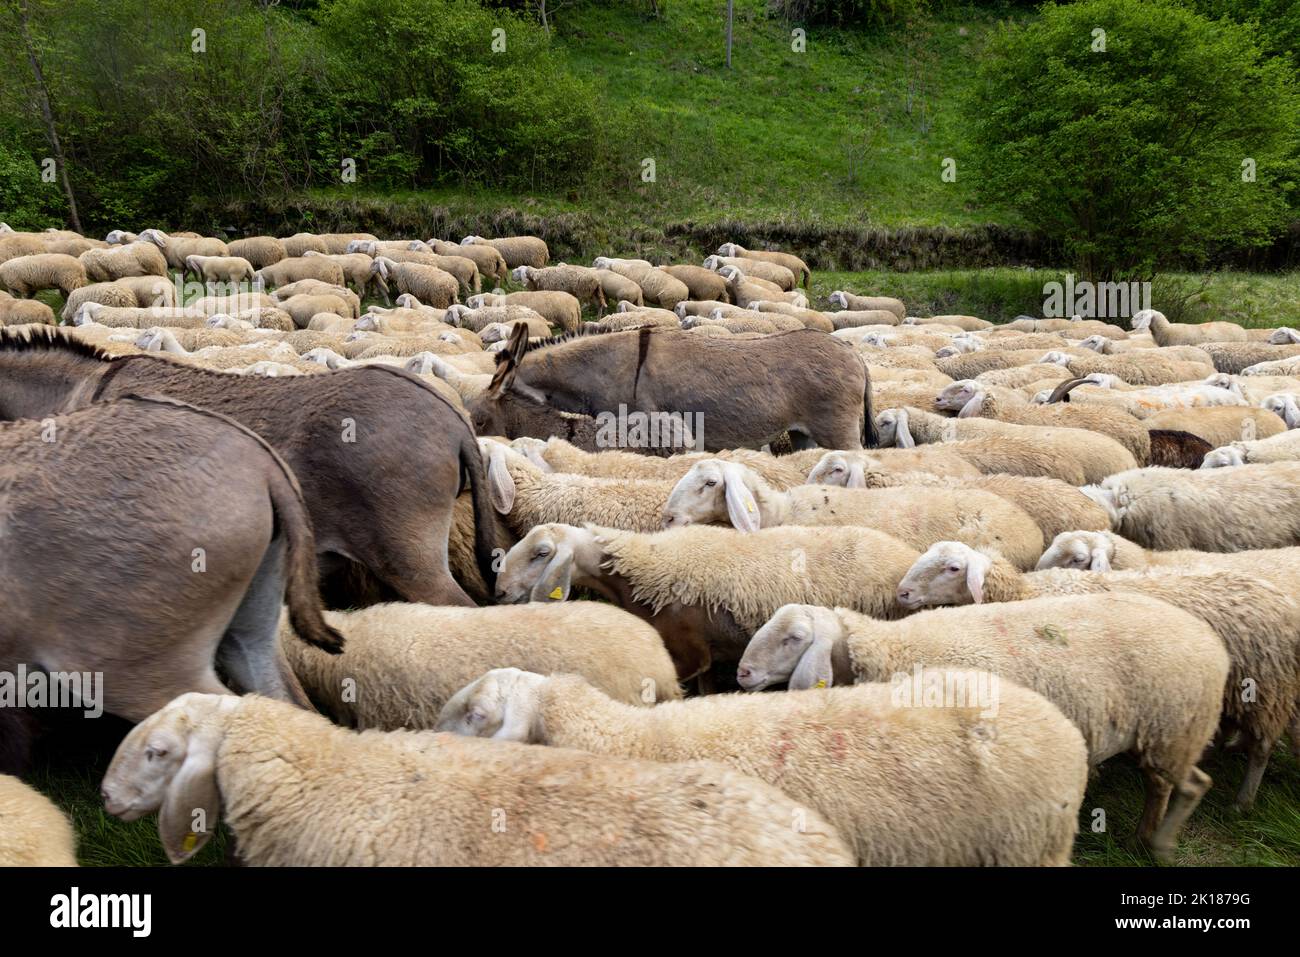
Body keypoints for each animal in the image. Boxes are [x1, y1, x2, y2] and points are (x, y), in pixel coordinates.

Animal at [739, 596, 1228, 862]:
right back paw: (1143, 837)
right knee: (1161, 784)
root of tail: (1213, 642)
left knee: (1193, 785)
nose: (742, 674)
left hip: (1180, 724)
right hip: (1164, 731)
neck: (889, 648)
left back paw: (1161, 846)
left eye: (793, 639)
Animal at [896, 540, 1300, 810]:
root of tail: (1281, 602)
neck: (1025, 592)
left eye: (952, 568)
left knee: (1263, 747)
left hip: (1267, 689)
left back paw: (1243, 800)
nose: (902, 593)